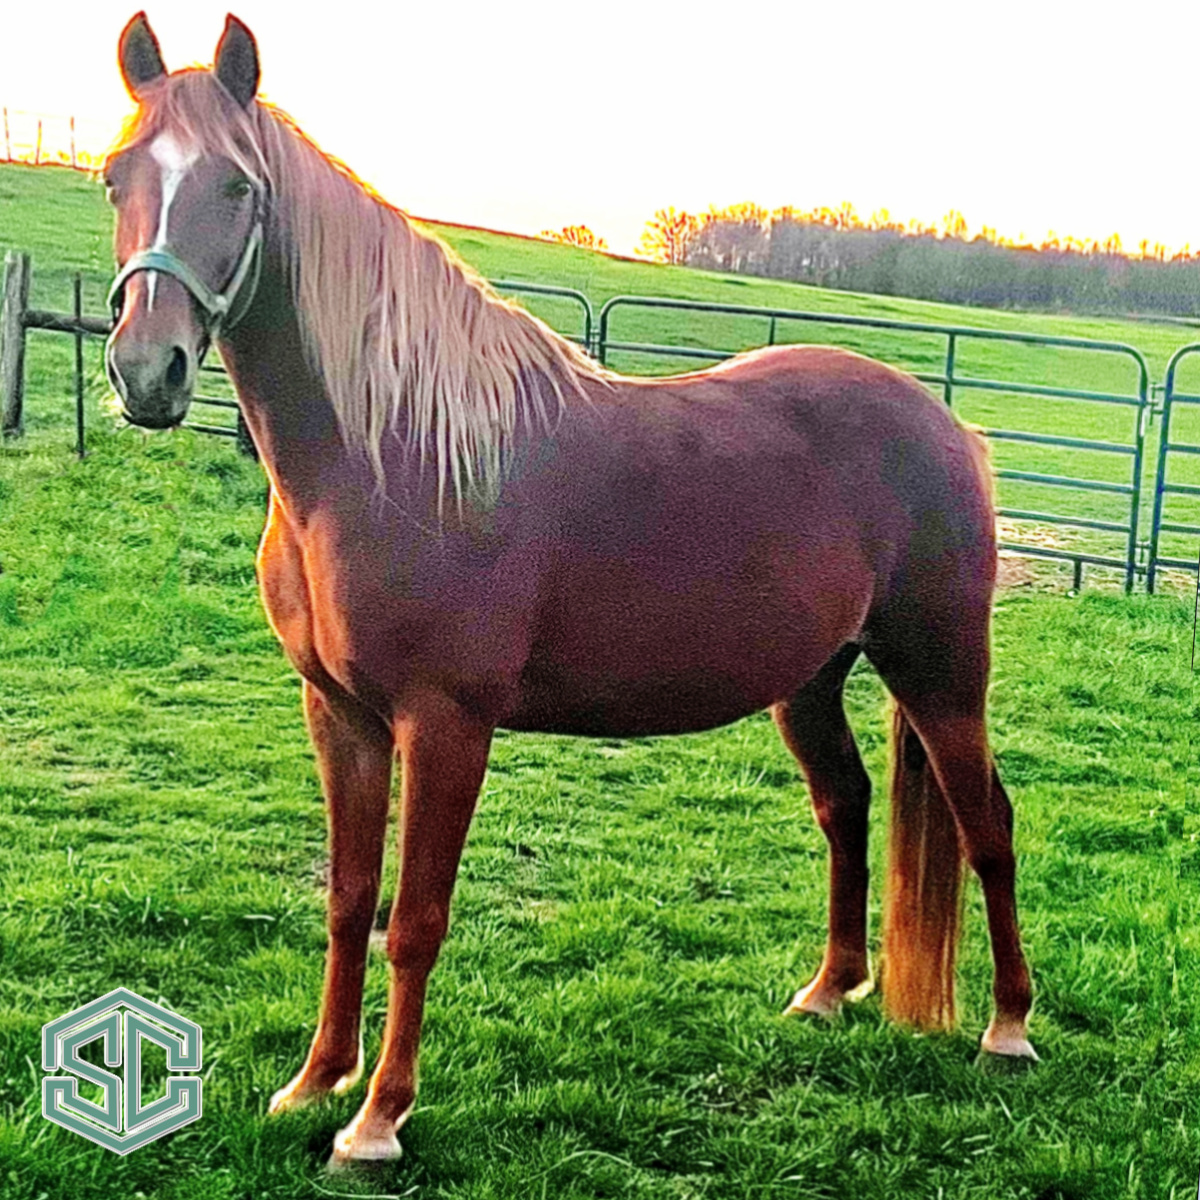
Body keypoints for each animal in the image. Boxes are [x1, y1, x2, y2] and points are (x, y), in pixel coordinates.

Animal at [103, 12, 1036, 1164]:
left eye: (236, 186)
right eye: (114, 176)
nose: (147, 373)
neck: (394, 454)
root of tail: (951, 428)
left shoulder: (445, 725)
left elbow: (416, 920)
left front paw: (378, 1119)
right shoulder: (340, 715)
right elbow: (350, 899)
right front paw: (317, 1082)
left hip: (941, 673)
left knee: (988, 822)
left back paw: (1008, 1029)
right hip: (812, 682)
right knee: (845, 803)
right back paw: (827, 992)